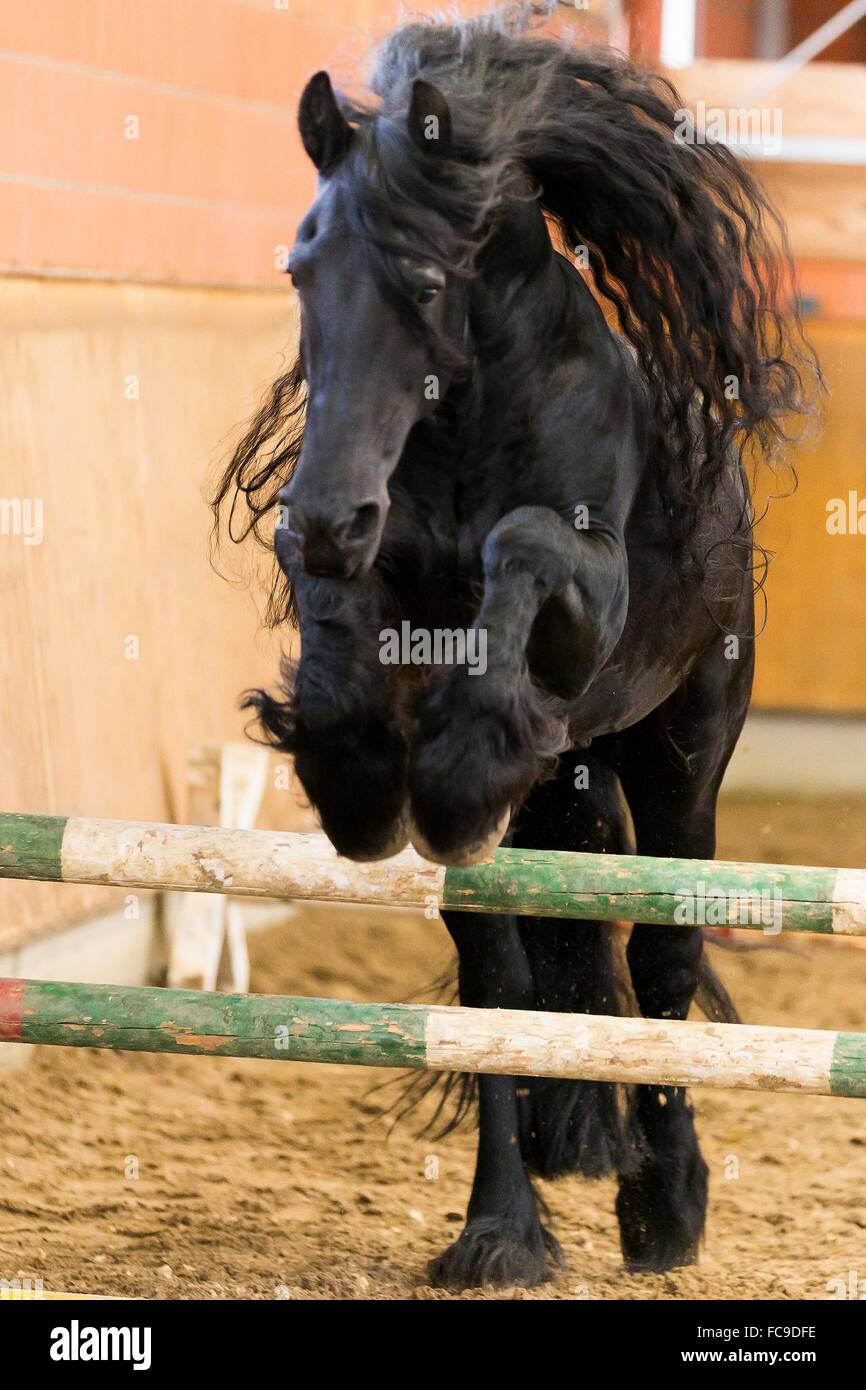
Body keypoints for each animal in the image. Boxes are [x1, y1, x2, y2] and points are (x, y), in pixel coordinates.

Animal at [213, 7, 817, 1289]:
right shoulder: (369, 561)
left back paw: (663, 1209)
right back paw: (500, 1226)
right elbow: (343, 653)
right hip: (555, 808)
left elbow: (524, 541)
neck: (471, 417)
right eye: (300, 272)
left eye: (425, 280)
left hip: (679, 764)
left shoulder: (583, 601)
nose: (320, 514)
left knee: (661, 964)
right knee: (503, 986)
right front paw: (362, 782)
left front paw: (455, 767)